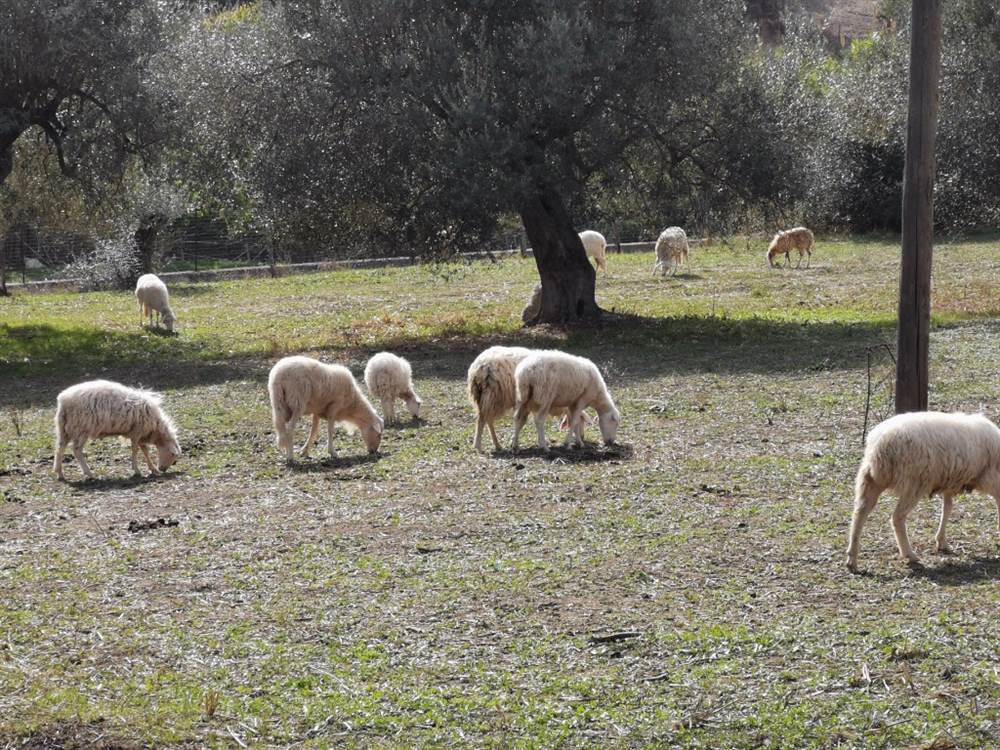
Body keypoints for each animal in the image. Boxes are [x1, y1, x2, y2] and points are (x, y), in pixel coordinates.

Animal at [846, 411, 1000, 572]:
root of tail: (880, 443)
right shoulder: (992, 478)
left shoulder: (949, 482)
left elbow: (947, 508)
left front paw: (941, 541)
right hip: (913, 483)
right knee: (897, 517)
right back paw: (909, 554)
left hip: (870, 479)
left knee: (859, 513)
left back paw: (852, 559)